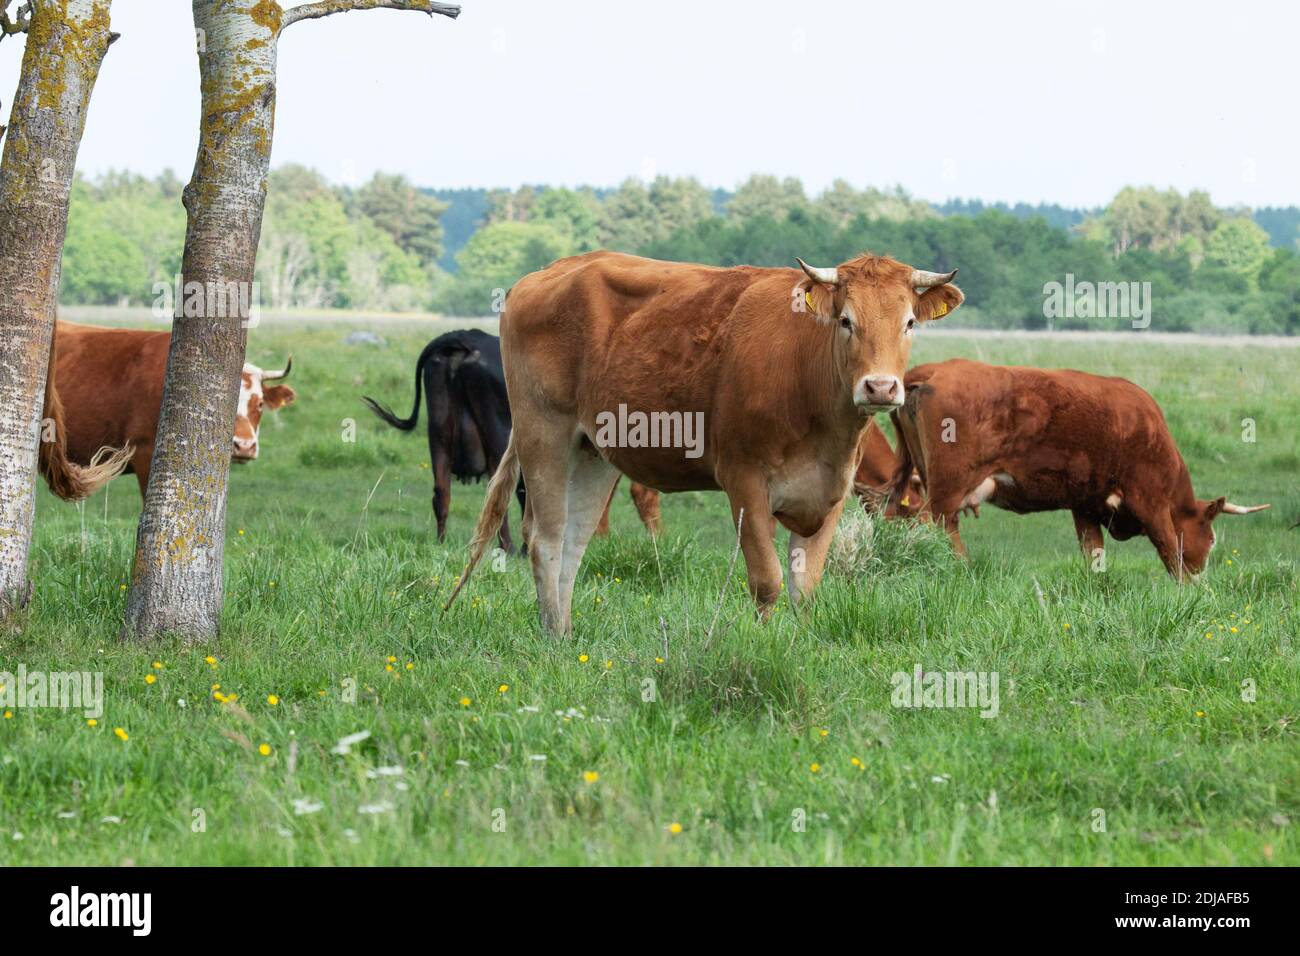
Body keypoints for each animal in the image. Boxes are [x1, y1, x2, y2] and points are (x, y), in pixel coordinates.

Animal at [363, 329, 662, 553]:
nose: (659, 534)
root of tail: (464, 340)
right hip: (499, 435)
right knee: (500, 497)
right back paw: (509, 547)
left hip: (438, 433)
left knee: (442, 493)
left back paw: (443, 543)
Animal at [446, 250, 964, 634]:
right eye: (845, 320)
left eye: (909, 323)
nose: (879, 387)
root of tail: (547, 273)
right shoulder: (744, 482)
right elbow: (767, 582)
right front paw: (765, 645)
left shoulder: (830, 494)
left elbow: (805, 588)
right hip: (544, 434)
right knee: (546, 540)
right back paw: (554, 635)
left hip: (591, 453)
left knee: (573, 546)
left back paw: (567, 634)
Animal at [888, 358, 1269, 579]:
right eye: (1211, 537)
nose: (1202, 570)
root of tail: (933, 369)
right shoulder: (1151, 501)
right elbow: (1169, 552)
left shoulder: (1085, 505)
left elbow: (1093, 554)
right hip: (948, 488)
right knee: (939, 524)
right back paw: (962, 568)